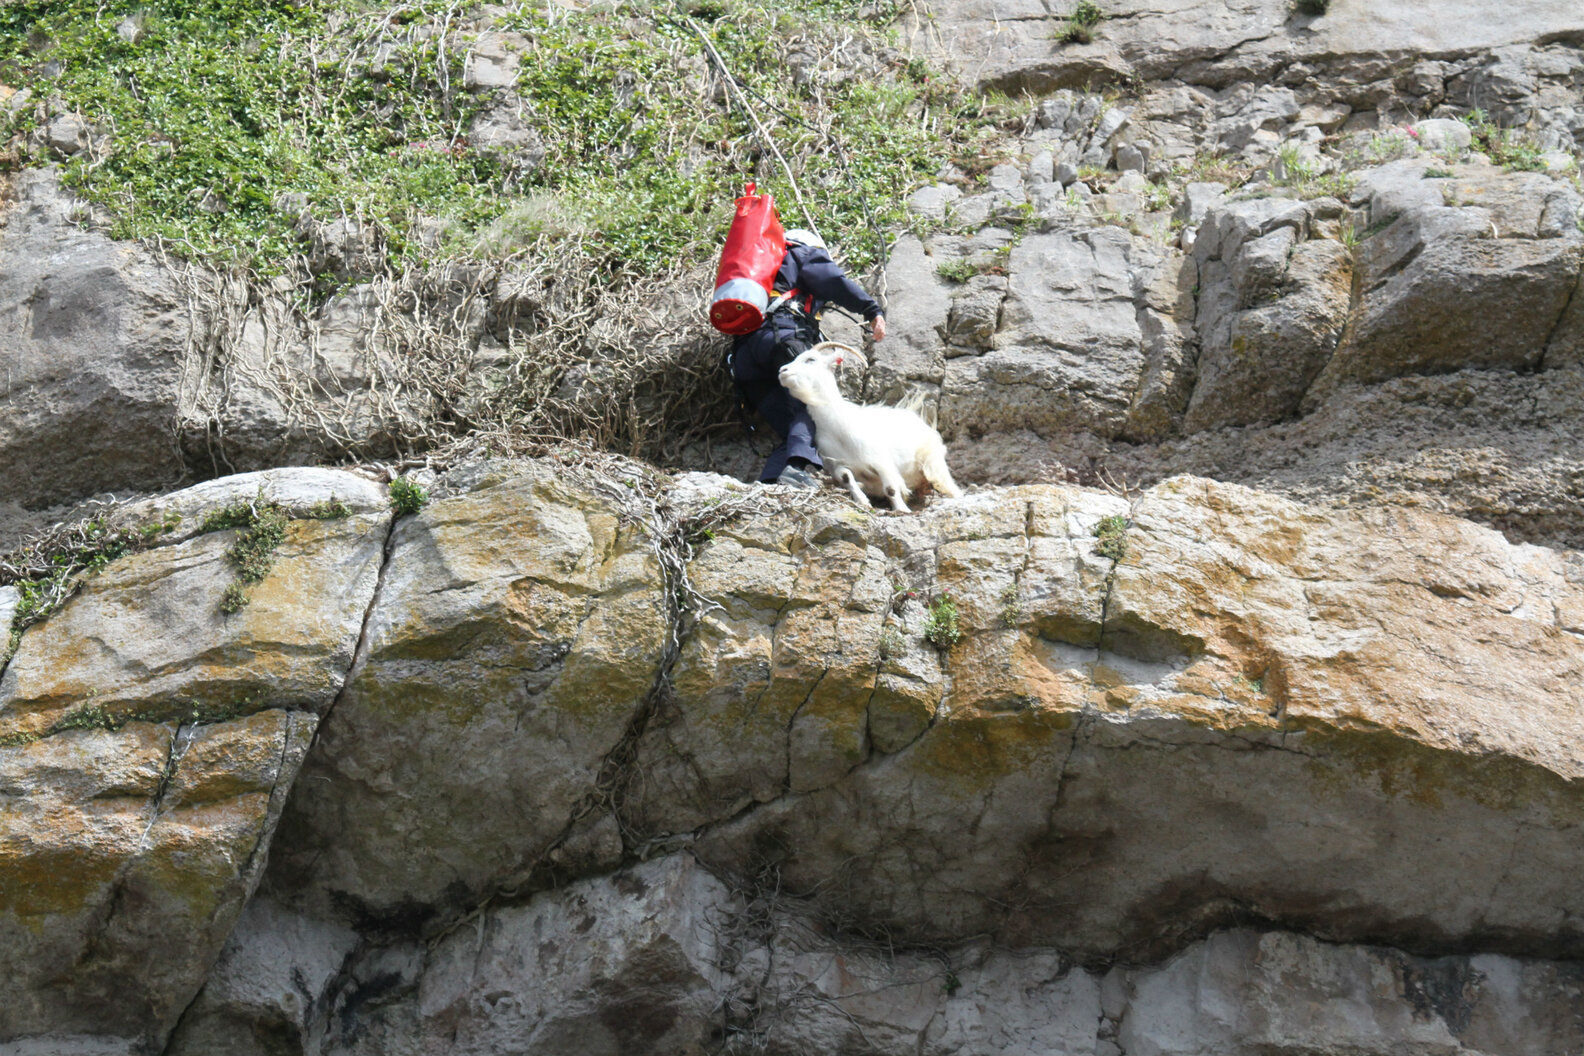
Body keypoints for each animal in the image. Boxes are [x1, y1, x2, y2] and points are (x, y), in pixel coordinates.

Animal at [778, 341, 962, 512]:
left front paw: (902, 509)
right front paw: (863, 501)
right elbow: (847, 478)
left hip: (933, 463)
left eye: (811, 359)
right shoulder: (836, 464)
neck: (837, 426)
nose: (782, 371)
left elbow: (891, 488)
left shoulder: (880, 460)